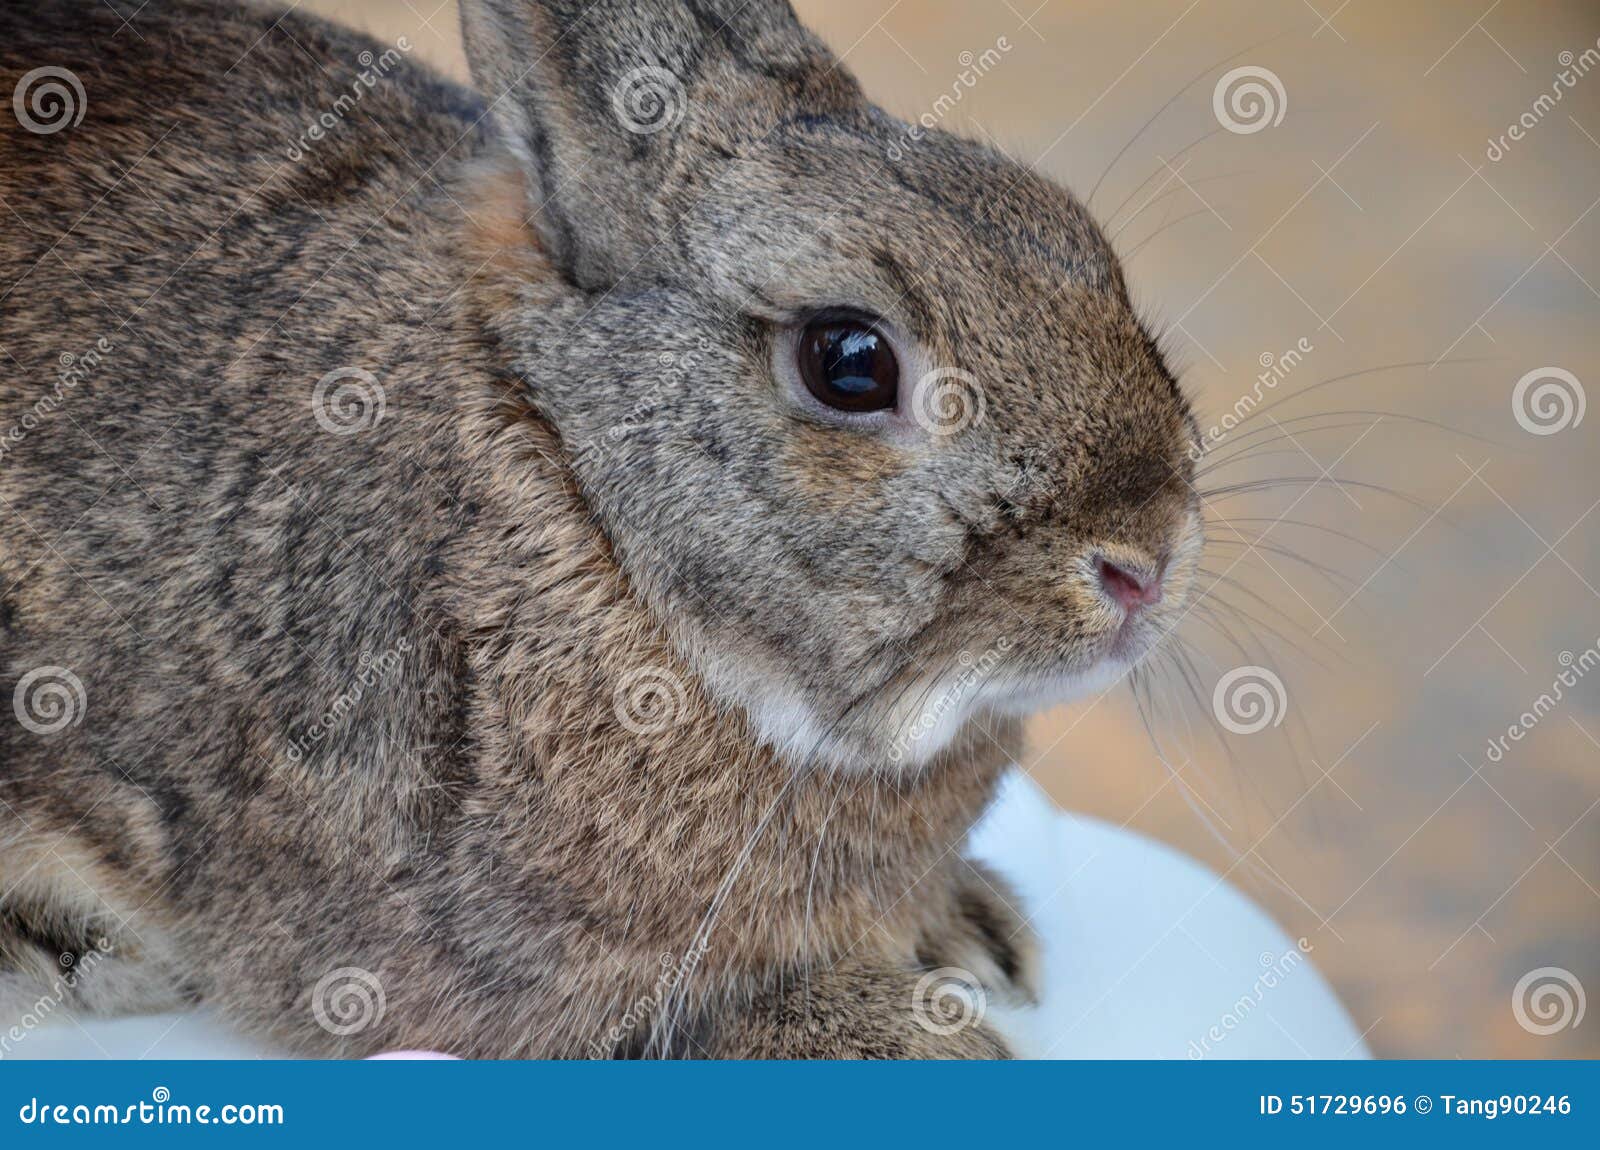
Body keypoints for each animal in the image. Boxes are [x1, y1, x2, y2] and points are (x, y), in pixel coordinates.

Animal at [0, 0, 1204, 1058]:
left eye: (1074, 239)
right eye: (849, 362)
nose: (1144, 562)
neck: (582, 493)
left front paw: (972, 933)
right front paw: (917, 1037)